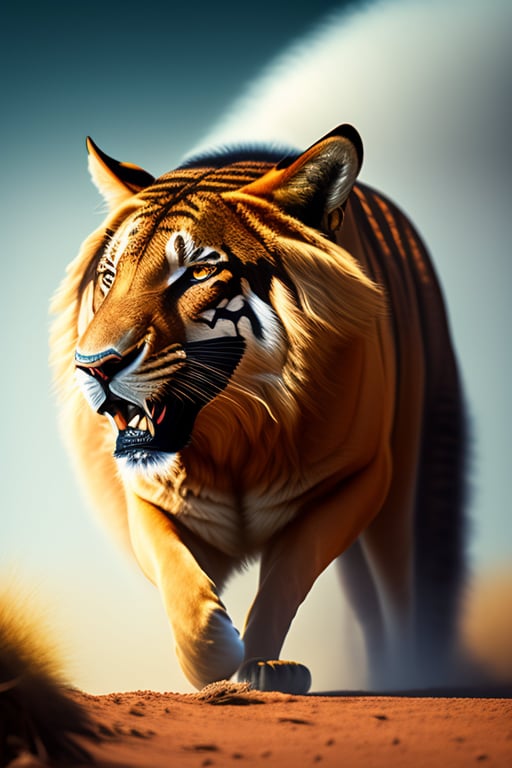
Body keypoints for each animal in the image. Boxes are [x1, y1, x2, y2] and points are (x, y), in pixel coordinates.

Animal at [50, 124, 467, 695]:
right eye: (110, 275)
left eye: (197, 273)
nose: (94, 366)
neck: (237, 439)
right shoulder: (150, 500)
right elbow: (181, 579)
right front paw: (216, 655)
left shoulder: (352, 481)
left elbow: (286, 576)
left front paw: (264, 666)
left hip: (400, 489)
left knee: (400, 588)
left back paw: (404, 672)